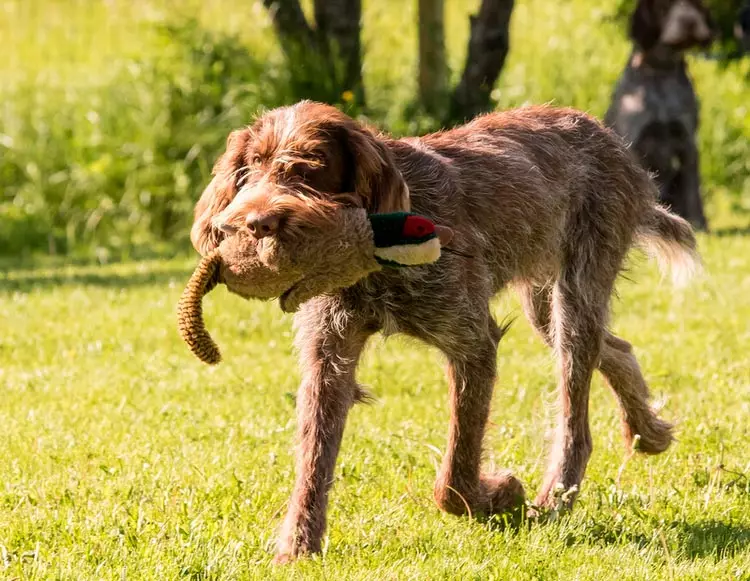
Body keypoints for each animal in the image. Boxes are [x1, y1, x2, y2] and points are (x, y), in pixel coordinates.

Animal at [191, 101, 704, 560]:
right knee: (615, 349)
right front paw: (298, 548)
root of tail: (609, 138)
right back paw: (647, 430)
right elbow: (314, 459)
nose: (256, 223)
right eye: (251, 170)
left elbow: (455, 474)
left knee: (576, 419)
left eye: (309, 168)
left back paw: (554, 498)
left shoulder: (473, 343)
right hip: (547, 306)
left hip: (575, 296)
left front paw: (499, 494)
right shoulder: (329, 354)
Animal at [604, 0, 716, 230]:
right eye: (664, 5)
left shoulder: (688, 141)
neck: (661, 71)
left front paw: (699, 223)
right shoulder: (633, 140)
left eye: (695, 3)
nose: (690, 21)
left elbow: (693, 190)